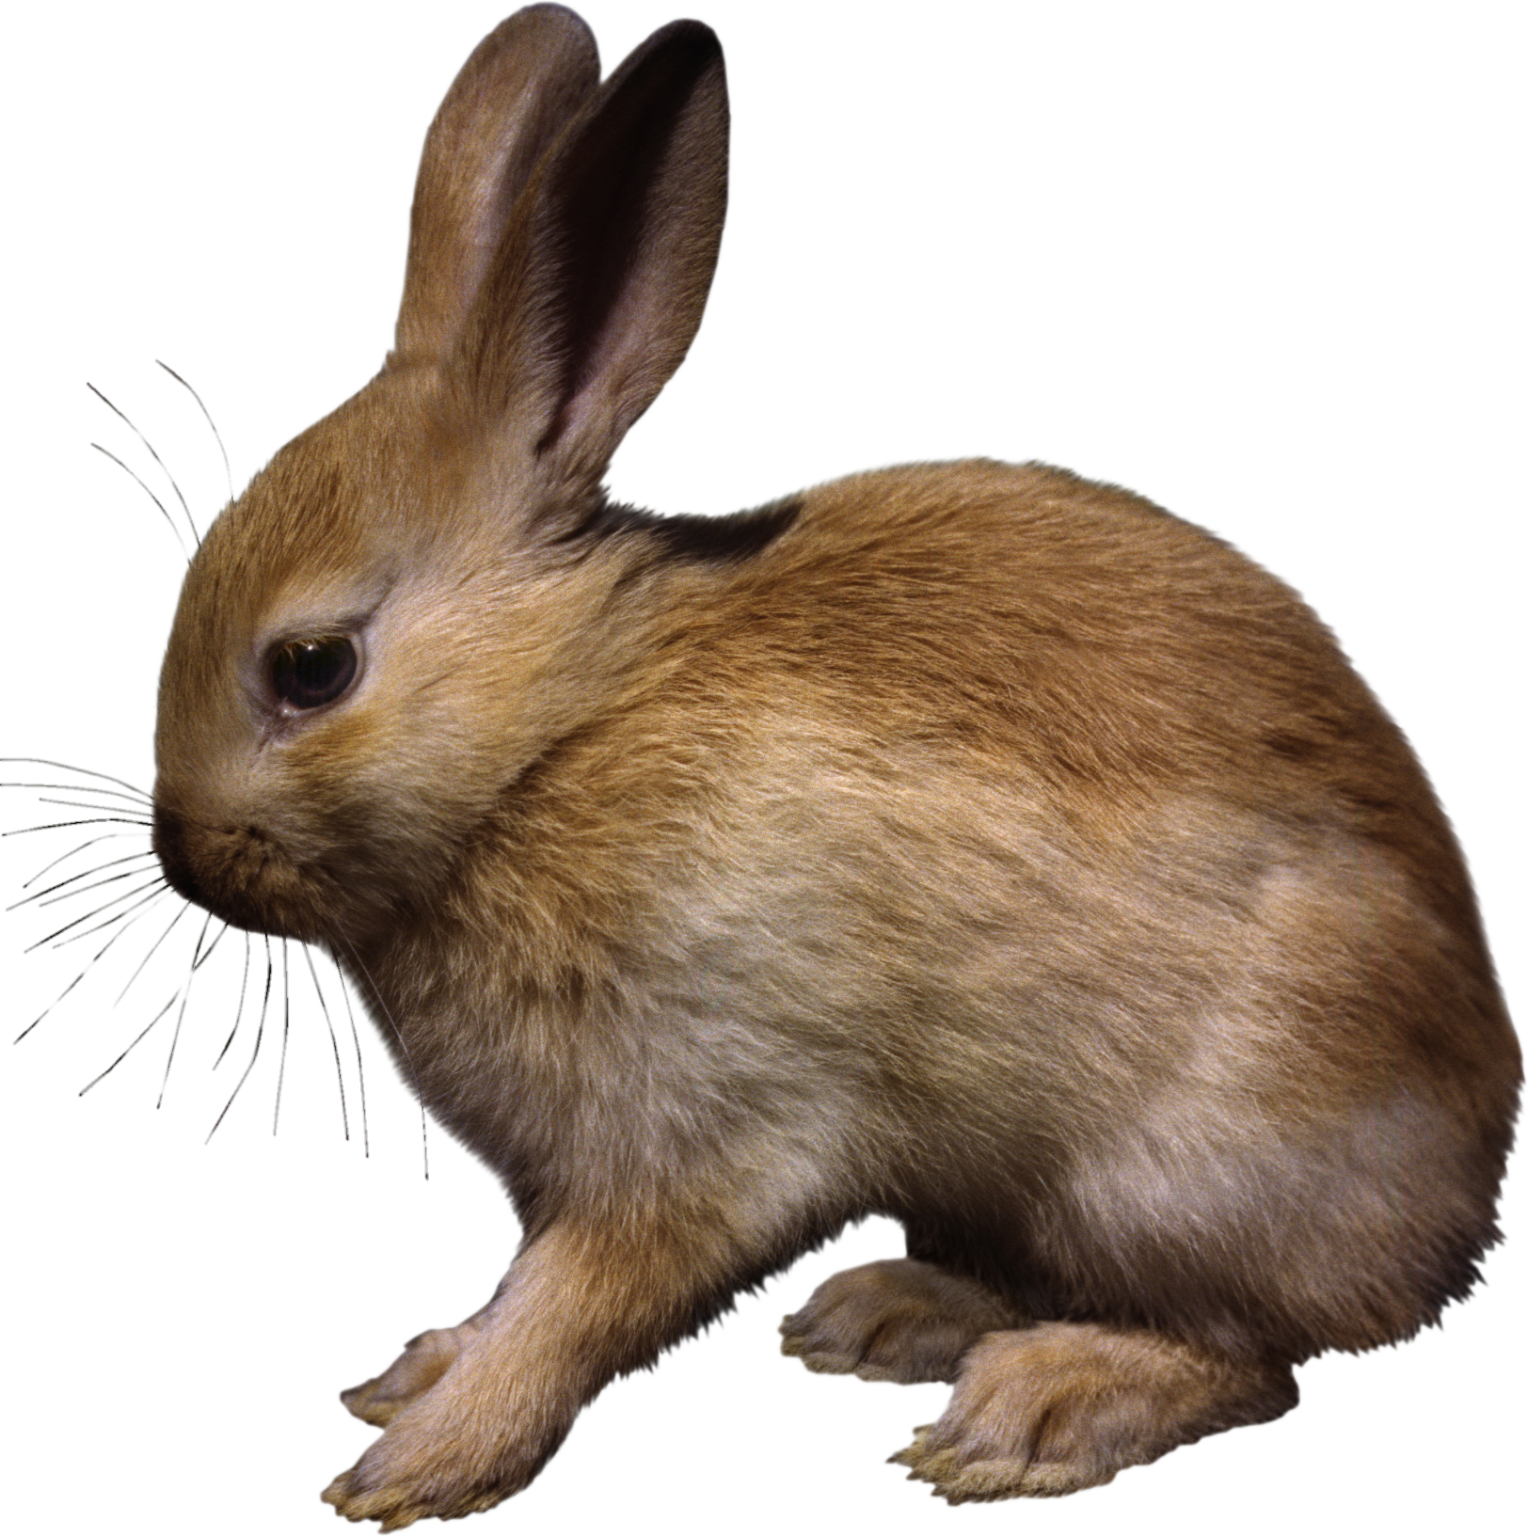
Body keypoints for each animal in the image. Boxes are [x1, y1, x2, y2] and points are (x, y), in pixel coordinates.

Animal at [138, 3, 1520, 1528]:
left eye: (314, 669)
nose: (180, 851)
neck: (553, 736)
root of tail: (1470, 1173)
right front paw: (420, 1374)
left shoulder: (704, 1126)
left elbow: (577, 1299)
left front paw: (421, 1462)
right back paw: (890, 1314)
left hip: (1187, 1162)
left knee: (1249, 1349)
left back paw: (1029, 1413)